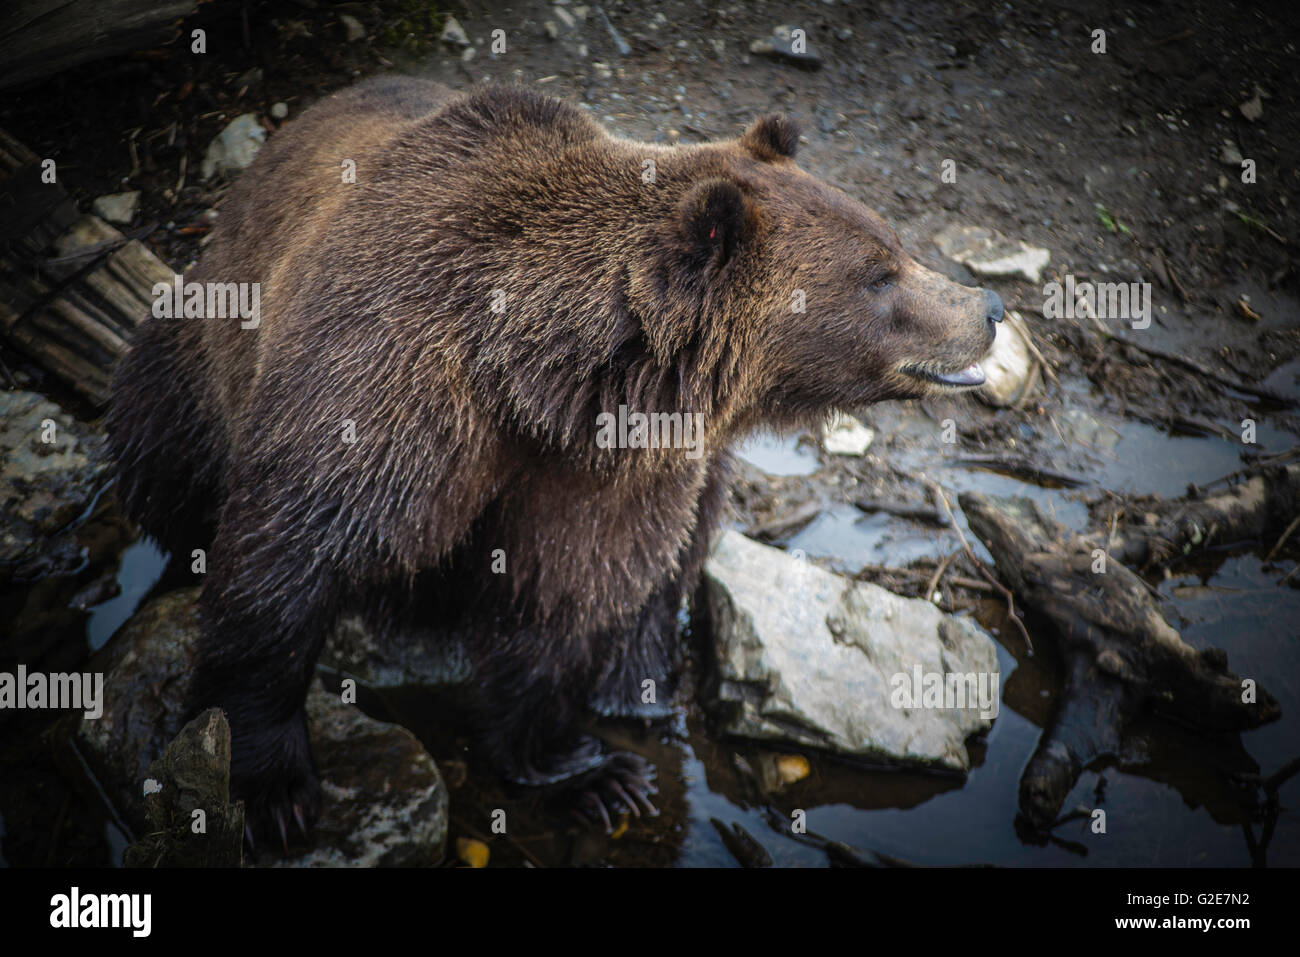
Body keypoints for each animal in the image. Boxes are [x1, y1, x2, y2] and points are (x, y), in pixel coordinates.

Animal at [106, 76, 1003, 844]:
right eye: (880, 274)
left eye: (895, 243)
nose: (988, 306)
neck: (538, 385)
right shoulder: (388, 391)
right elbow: (290, 553)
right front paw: (270, 788)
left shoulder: (613, 468)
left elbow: (565, 592)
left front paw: (589, 770)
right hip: (203, 340)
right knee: (165, 449)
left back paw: (640, 682)